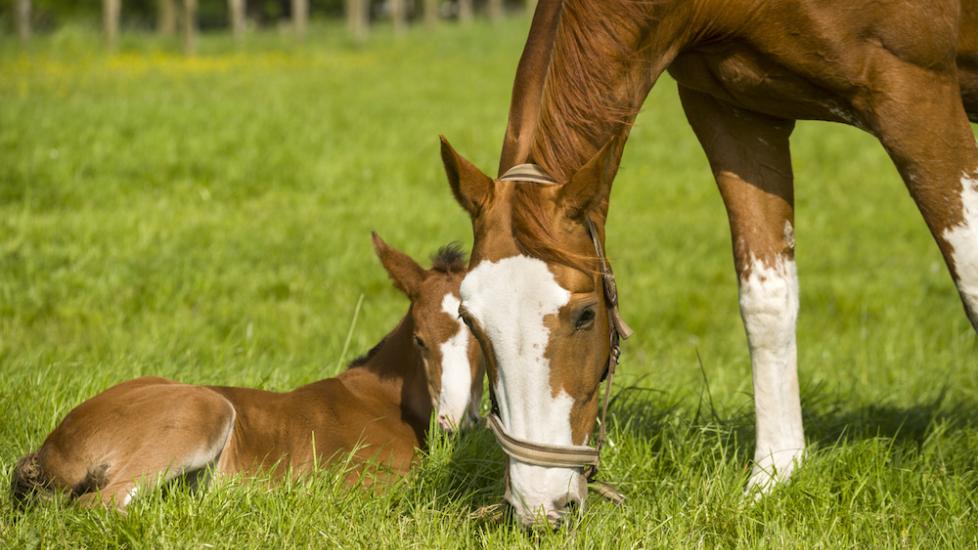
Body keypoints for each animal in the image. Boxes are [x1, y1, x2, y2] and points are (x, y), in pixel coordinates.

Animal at [10, 234, 484, 509]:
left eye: (483, 335)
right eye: (419, 339)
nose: (455, 419)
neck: (382, 399)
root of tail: (54, 446)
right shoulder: (361, 483)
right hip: (206, 409)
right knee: (101, 502)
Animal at [439, 0, 978, 526]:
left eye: (586, 315)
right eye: (470, 320)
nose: (537, 507)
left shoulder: (914, 94)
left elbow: (970, 277)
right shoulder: (736, 113)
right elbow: (766, 301)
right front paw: (774, 475)